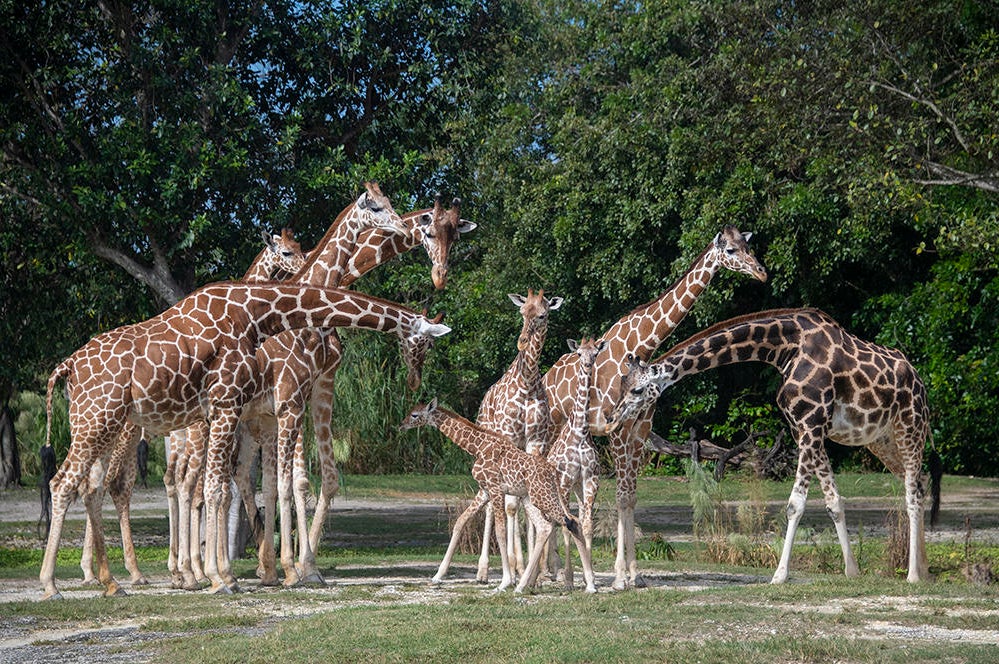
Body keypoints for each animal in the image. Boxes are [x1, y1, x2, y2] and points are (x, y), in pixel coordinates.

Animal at [41, 280, 451, 599]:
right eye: (426, 344)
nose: (415, 379)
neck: (255, 313)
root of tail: (67, 368)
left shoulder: (231, 409)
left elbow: (225, 490)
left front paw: (227, 574)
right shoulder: (230, 403)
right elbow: (221, 490)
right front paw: (224, 578)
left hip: (101, 425)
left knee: (90, 488)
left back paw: (110, 582)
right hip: (98, 420)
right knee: (64, 483)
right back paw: (53, 585)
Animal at [400, 399, 595, 593]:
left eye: (414, 415)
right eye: (410, 411)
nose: (401, 425)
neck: (476, 447)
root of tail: (553, 472)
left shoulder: (495, 488)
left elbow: (500, 531)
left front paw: (505, 581)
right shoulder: (485, 490)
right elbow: (461, 521)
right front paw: (437, 577)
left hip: (542, 496)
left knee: (569, 522)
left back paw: (584, 584)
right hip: (532, 498)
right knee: (551, 525)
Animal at [432, 289, 562, 585]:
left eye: (543, 315)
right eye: (521, 312)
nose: (522, 341)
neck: (527, 383)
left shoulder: (535, 442)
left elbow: (527, 502)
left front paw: (534, 573)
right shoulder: (510, 438)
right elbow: (511, 506)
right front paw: (515, 567)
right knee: (492, 504)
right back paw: (483, 571)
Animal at [542, 225, 768, 590]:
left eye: (749, 245)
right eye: (731, 250)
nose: (762, 272)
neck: (644, 344)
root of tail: (546, 379)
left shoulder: (639, 433)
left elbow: (631, 498)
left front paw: (636, 575)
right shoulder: (618, 431)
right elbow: (621, 496)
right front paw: (620, 577)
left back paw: (557, 570)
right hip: (549, 432)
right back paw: (550, 570)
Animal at [605, 308, 941, 583]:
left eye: (637, 390)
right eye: (621, 385)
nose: (611, 417)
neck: (783, 350)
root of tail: (920, 383)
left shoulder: (811, 425)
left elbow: (795, 504)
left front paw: (779, 575)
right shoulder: (804, 429)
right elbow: (834, 502)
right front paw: (852, 570)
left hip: (910, 427)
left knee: (913, 493)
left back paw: (913, 575)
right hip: (881, 440)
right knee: (921, 482)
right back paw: (924, 569)